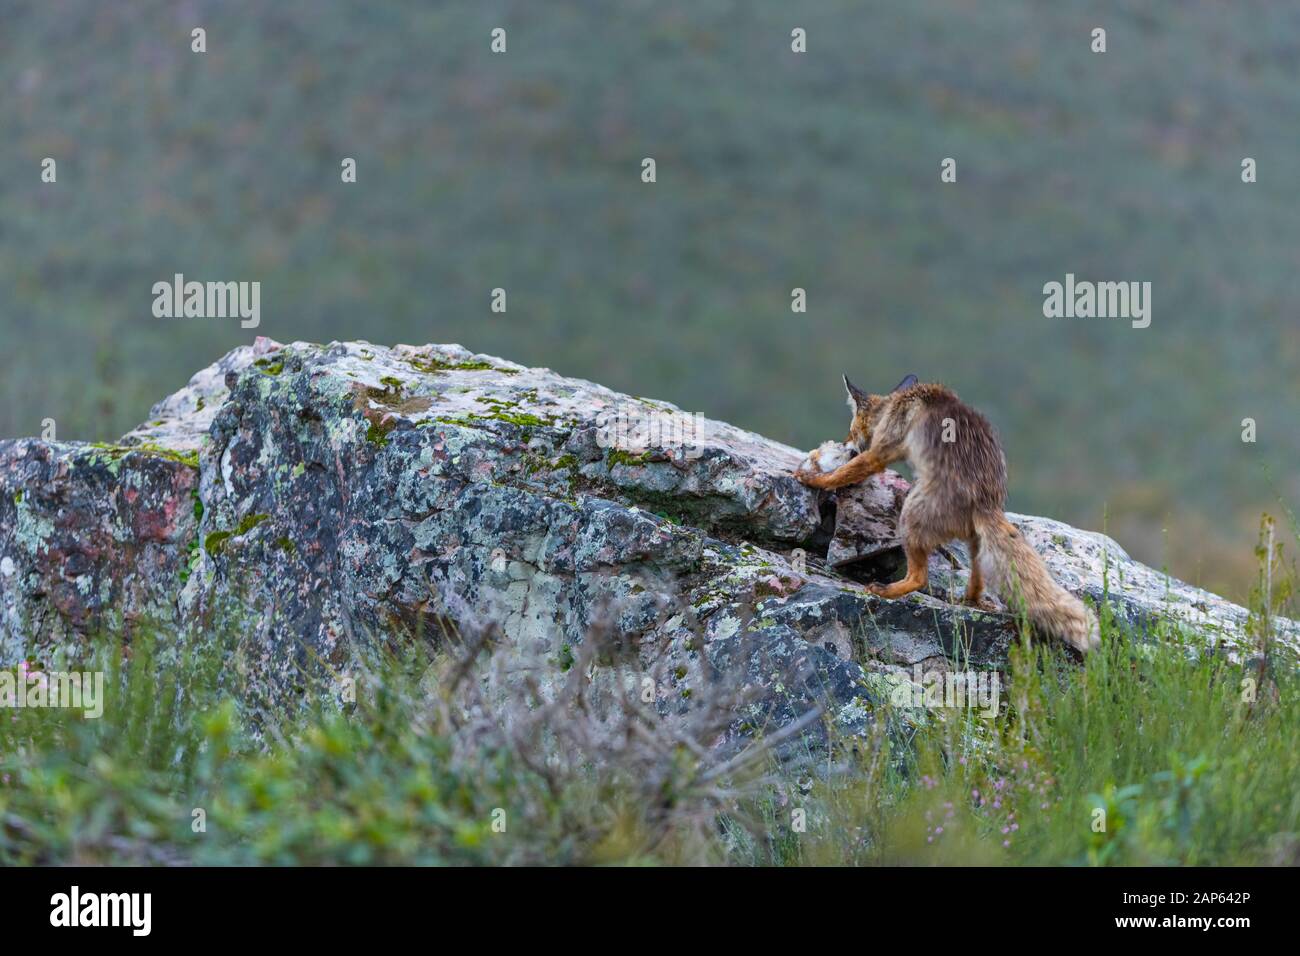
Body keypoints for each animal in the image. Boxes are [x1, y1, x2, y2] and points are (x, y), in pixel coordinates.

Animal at [794, 373, 1100, 654]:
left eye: (852, 428)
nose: (846, 445)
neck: (898, 403)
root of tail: (987, 502)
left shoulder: (881, 452)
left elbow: (846, 472)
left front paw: (813, 479)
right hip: (974, 543)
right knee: (977, 577)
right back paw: (971, 601)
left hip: (910, 517)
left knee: (920, 578)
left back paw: (885, 590)